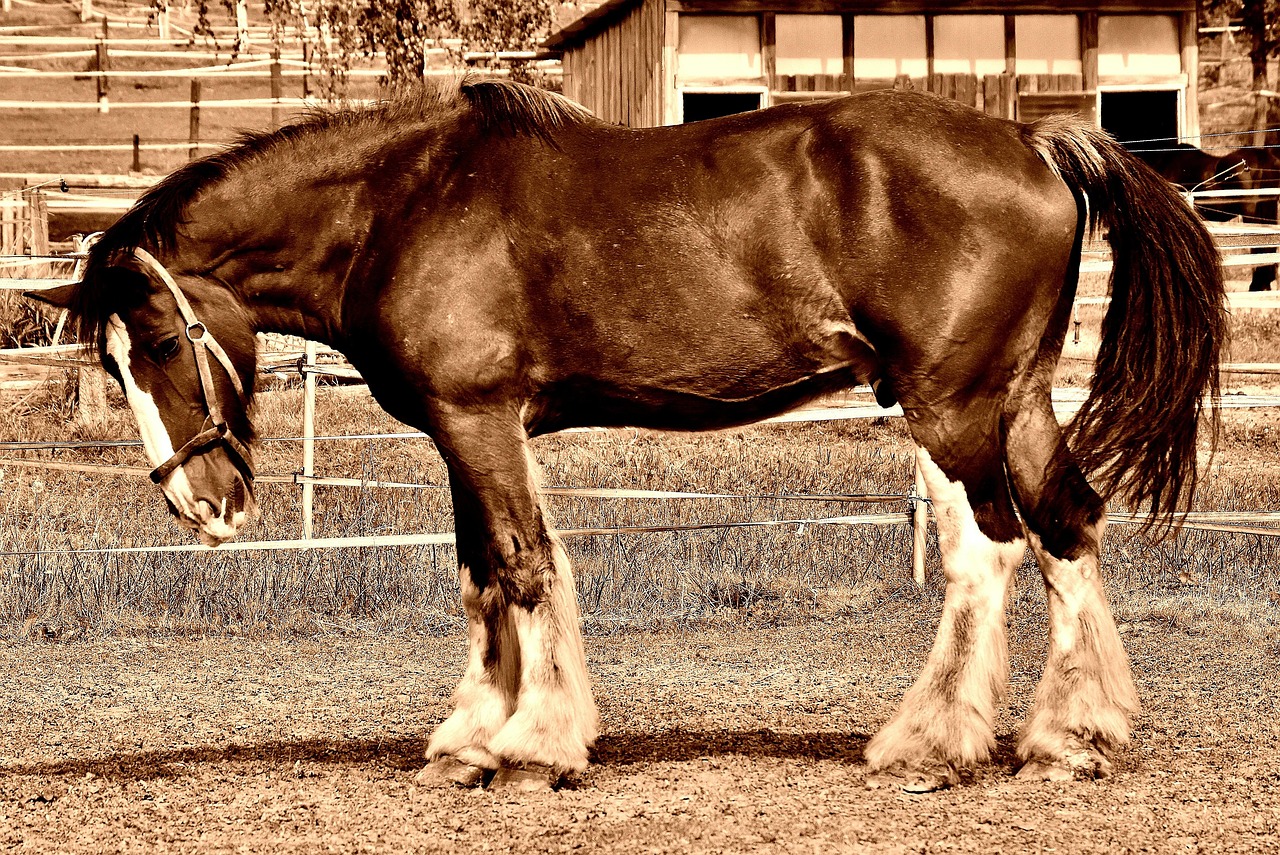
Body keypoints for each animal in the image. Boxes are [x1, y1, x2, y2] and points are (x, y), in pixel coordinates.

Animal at [29, 81, 1225, 792]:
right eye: (112, 366)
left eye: (161, 342)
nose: (199, 504)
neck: (398, 206)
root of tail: (1031, 136)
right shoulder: (463, 431)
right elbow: (481, 573)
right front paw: (472, 739)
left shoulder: (479, 420)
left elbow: (519, 567)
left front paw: (529, 750)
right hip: (1014, 398)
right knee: (1067, 525)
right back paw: (1070, 738)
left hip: (951, 404)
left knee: (988, 549)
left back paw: (931, 743)